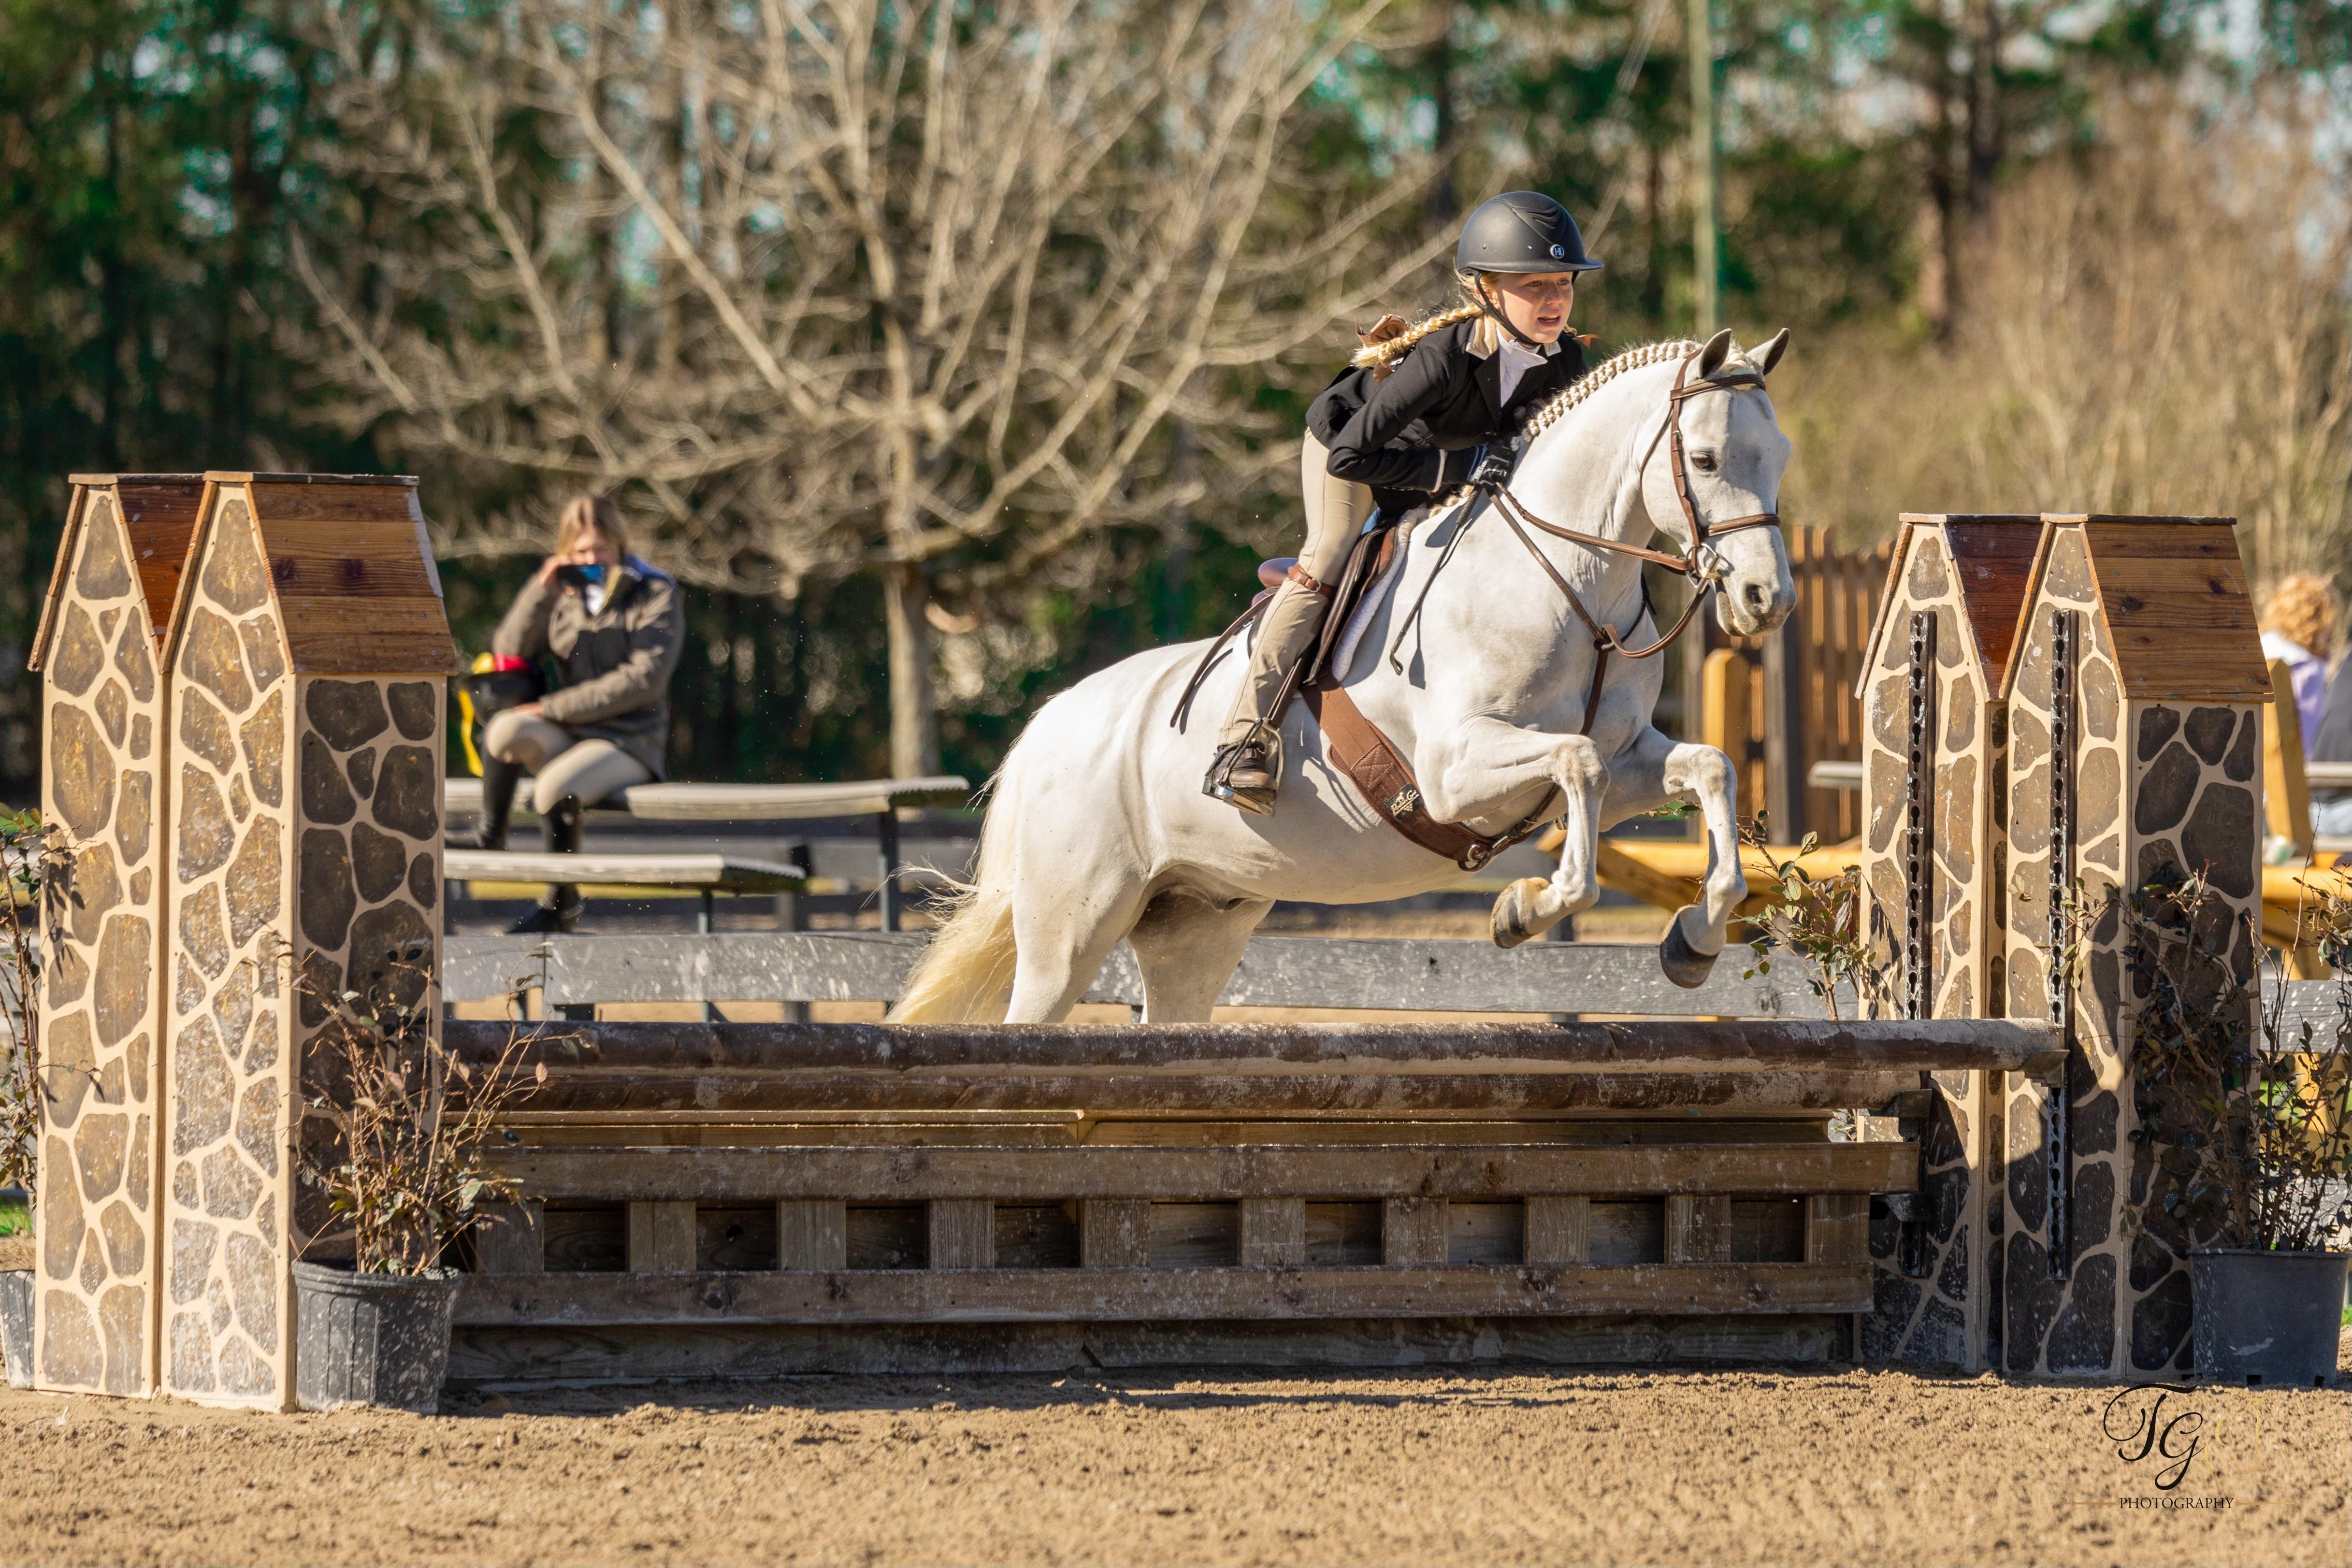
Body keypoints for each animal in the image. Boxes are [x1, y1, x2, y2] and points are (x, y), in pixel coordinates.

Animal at [892, 329, 1798, 1024]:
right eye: (1705, 458)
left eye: (1778, 456)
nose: (1768, 599)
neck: (1568, 580)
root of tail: (1049, 724)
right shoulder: (1452, 772)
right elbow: (1574, 762)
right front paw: (1524, 907)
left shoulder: (1629, 755)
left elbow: (1705, 766)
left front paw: (1694, 940)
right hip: (1070, 929)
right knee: (1032, 1009)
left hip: (1194, 924)